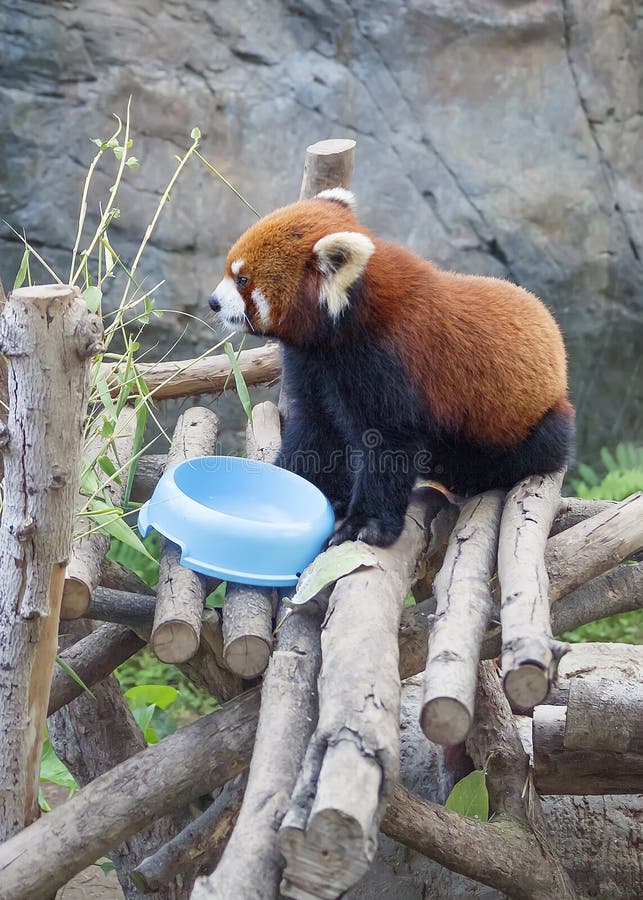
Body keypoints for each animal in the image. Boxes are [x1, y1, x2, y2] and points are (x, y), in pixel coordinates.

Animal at [209, 188, 574, 547]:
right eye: (231, 272)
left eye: (242, 279)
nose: (213, 302)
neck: (344, 329)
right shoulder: (313, 363)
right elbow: (316, 426)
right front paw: (294, 482)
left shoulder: (388, 364)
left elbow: (387, 444)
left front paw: (365, 524)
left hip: (527, 424)